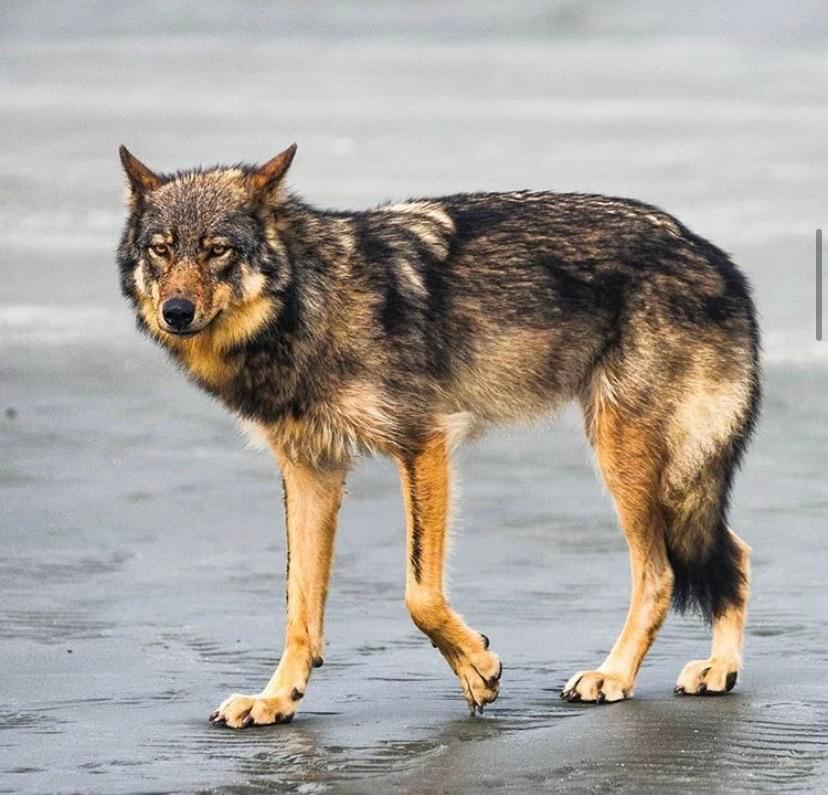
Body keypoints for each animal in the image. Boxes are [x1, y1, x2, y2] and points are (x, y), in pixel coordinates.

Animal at [117, 143, 760, 728]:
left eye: (218, 250)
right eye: (161, 249)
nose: (176, 311)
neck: (314, 303)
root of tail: (715, 257)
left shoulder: (422, 443)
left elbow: (419, 595)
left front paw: (477, 669)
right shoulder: (310, 469)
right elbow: (299, 610)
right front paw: (275, 699)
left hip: (629, 458)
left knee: (664, 573)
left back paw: (617, 675)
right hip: (665, 474)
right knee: (734, 552)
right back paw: (717, 669)